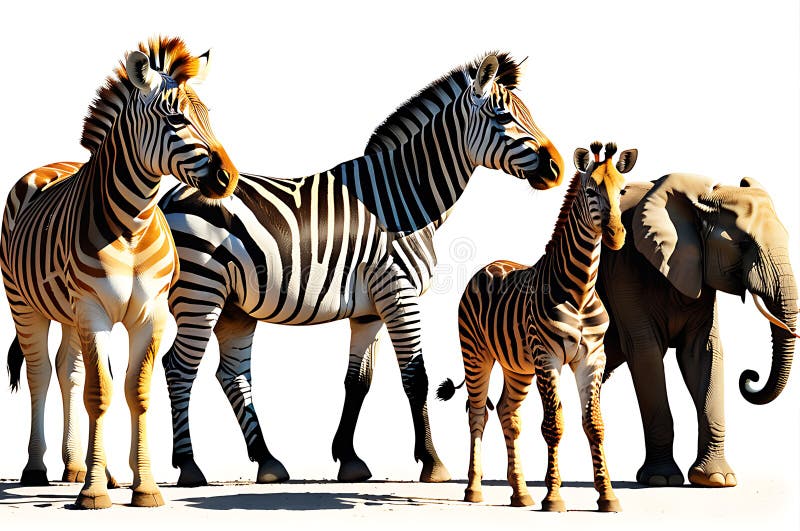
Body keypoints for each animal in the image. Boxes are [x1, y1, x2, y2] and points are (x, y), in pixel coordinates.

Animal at [1, 37, 238, 509]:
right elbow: (101, 393)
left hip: (69, 312)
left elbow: (135, 391)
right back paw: (38, 468)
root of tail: (49, 166)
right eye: (176, 118)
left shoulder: (150, 315)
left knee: (68, 371)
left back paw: (80, 466)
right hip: (25, 305)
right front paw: (94, 494)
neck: (132, 224)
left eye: (208, 115)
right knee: (40, 374)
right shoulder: (93, 311)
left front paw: (141, 486)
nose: (228, 177)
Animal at [159, 52, 564, 486]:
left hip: (234, 307)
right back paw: (189, 465)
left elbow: (358, 381)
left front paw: (349, 459)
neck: (404, 197)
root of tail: (168, 197)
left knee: (232, 375)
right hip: (201, 292)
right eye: (504, 115)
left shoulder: (370, 309)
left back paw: (268, 462)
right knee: (179, 369)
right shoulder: (399, 292)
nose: (557, 167)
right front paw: (432, 462)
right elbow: (416, 377)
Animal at [438, 142, 636, 511]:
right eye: (591, 191)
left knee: (507, 414)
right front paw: (554, 497)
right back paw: (474, 489)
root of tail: (488, 265)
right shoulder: (548, 358)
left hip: (518, 368)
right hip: (476, 355)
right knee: (477, 414)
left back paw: (520, 492)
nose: (616, 236)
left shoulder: (593, 359)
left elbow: (595, 424)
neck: (580, 289)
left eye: (623, 191)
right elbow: (553, 425)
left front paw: (607, 496)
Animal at [598, 173, 798, 487]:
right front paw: (660, 479)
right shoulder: (622, 268)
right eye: (743, 244)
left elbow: (703, 352)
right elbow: (644, 352)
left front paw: (716, 479)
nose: (750, 376)